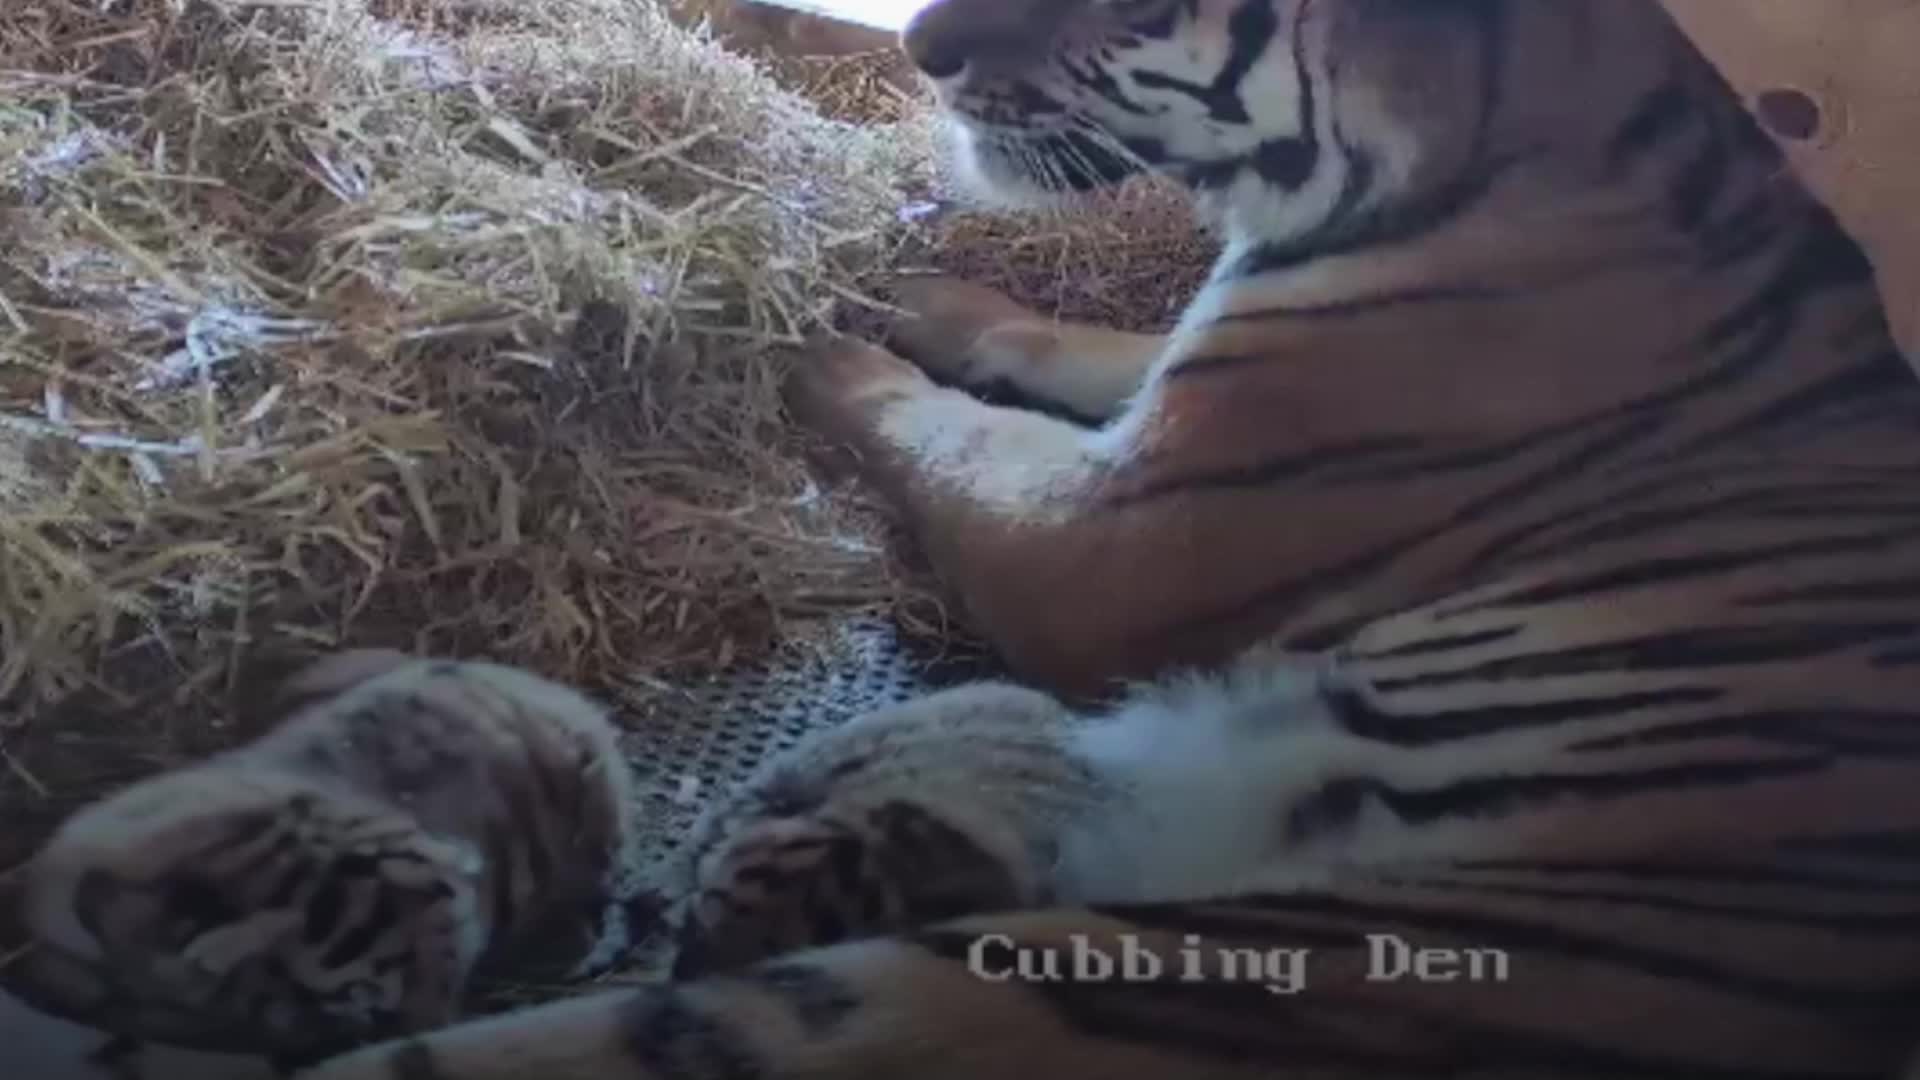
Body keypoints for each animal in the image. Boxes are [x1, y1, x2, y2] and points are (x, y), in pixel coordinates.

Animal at [298, 0, 1920, 1075]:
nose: (921, 42)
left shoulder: (1111, 544)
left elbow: (947, 430)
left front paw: (816, 337)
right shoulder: (1173, 393)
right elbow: (1059, 344)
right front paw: (910, 289)